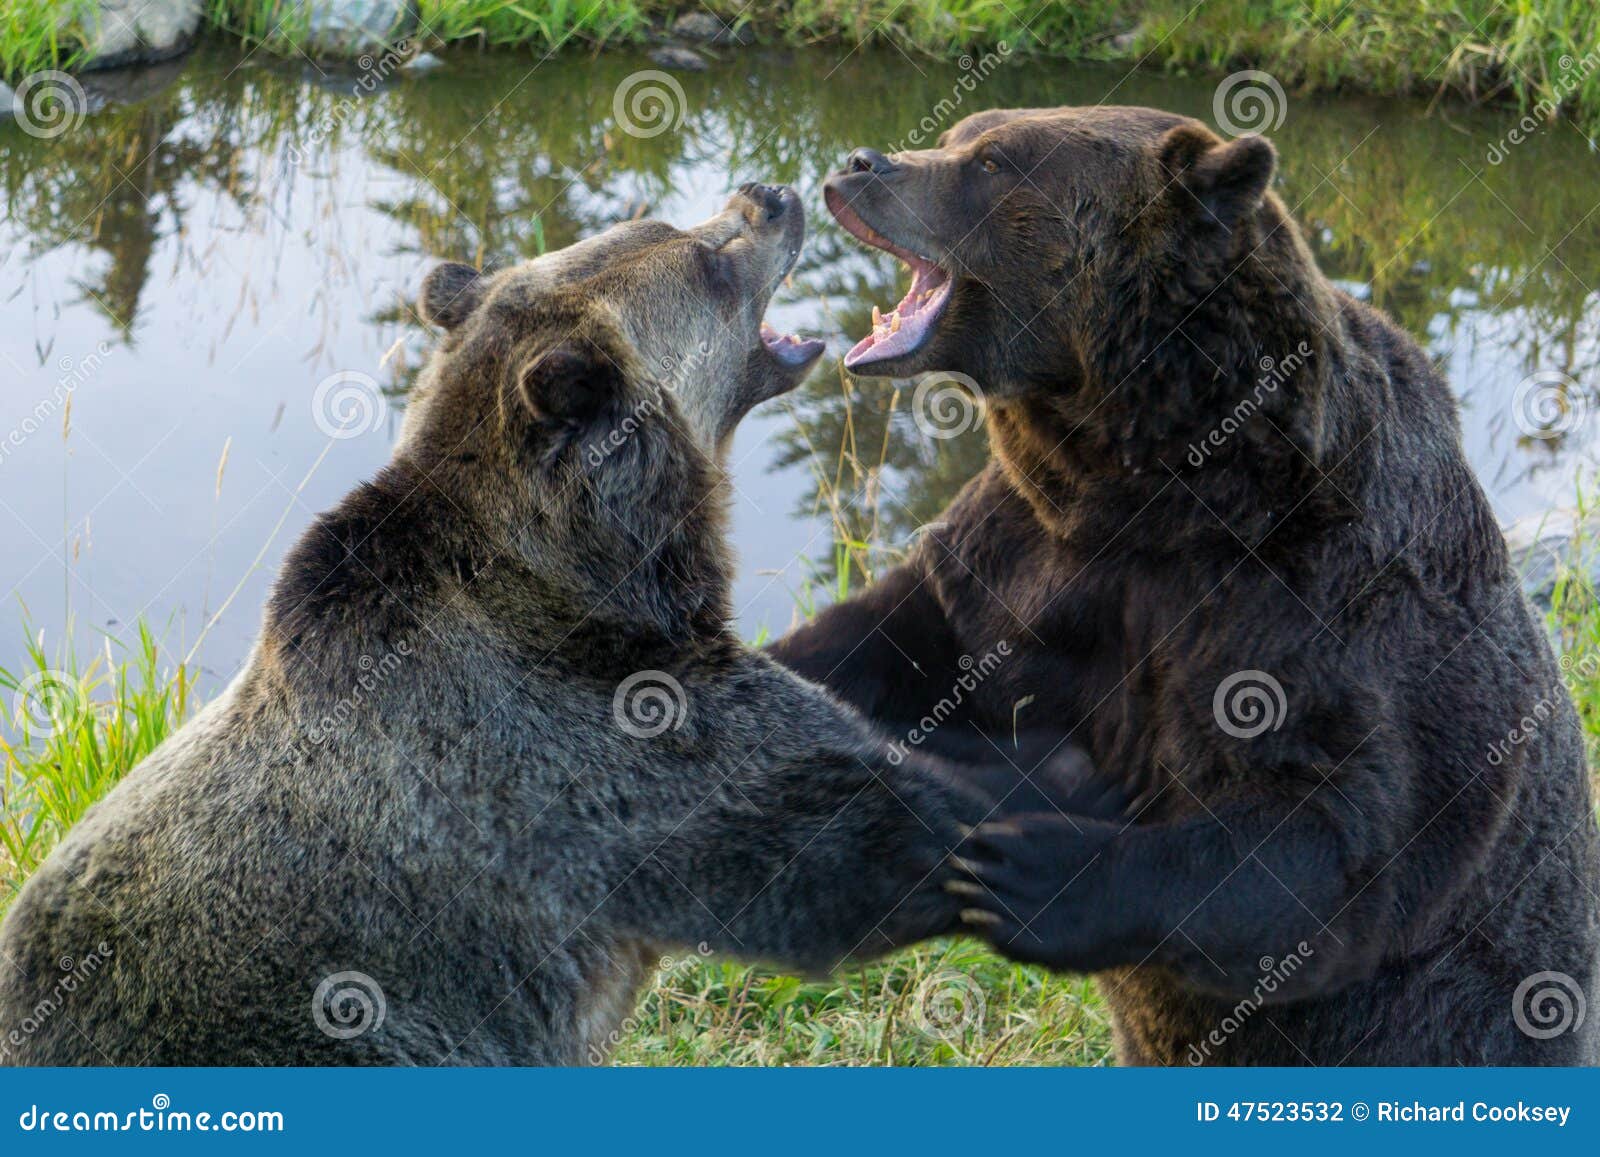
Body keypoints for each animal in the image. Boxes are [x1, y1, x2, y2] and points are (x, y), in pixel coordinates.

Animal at [0, 184, 1096, 1066]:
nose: (771, 194)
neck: (599, 572)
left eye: (672, 221)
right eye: (707, 257)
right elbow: (835, 829)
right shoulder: (600, 741)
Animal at [770, 107, 1600, 1065]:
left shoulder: (1324, 598)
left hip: (1463, 1018)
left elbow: (1330, 836)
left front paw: (1031, 864)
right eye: (962, 134)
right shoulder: (1037, 551)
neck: (1160, 484)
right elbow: (903, 632)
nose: (861, 163)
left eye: (994, 161)